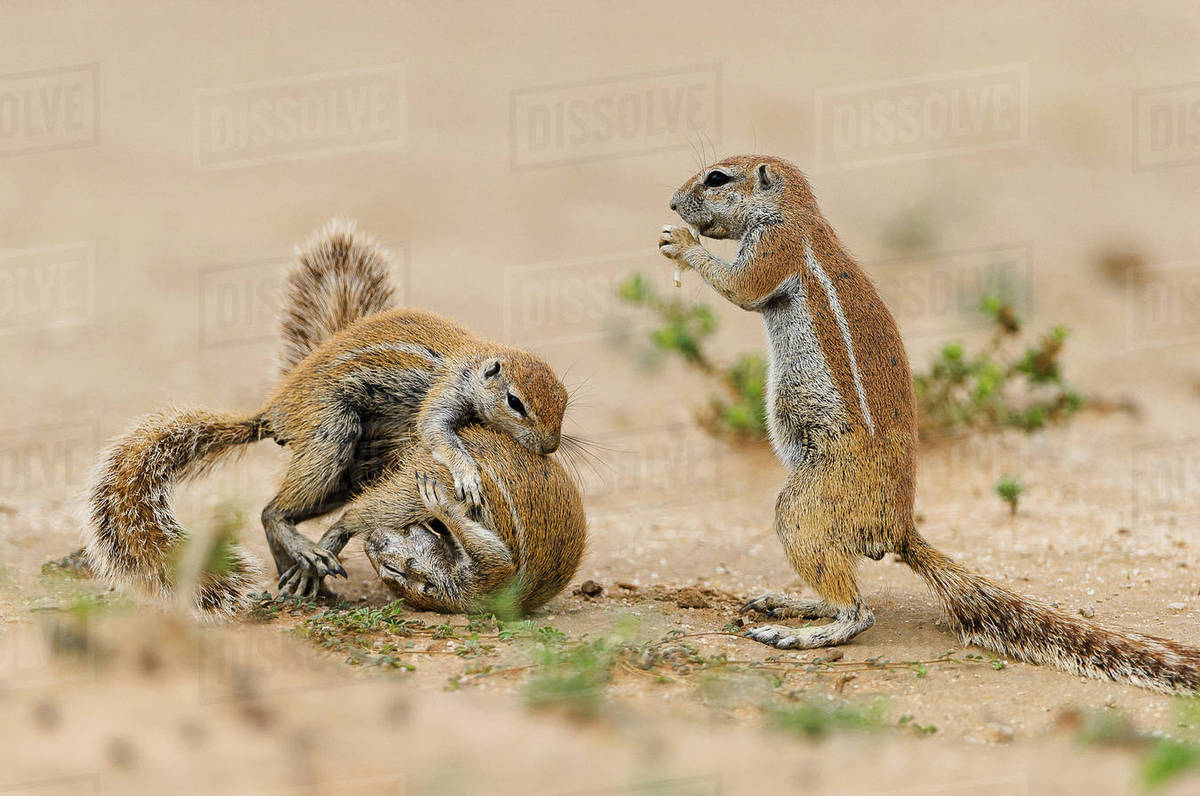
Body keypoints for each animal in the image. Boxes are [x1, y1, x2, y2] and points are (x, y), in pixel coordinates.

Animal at [311, 424, 586, 615]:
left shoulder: (482, 581)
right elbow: (494, 555)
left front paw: (440, 511)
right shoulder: (480, 583)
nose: (373, 541)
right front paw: (442, 511)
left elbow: (495, 556)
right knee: (358, 513)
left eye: (391, 569)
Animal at [659, 154, 1200, 693]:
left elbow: (741, 288)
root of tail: (898, 529)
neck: (794, 212)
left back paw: (802, 633)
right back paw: (795, 603)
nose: (672, 203)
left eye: (716, 178)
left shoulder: (775, 248)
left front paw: (680, 243)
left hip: (806, 506)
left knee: (857, 611)